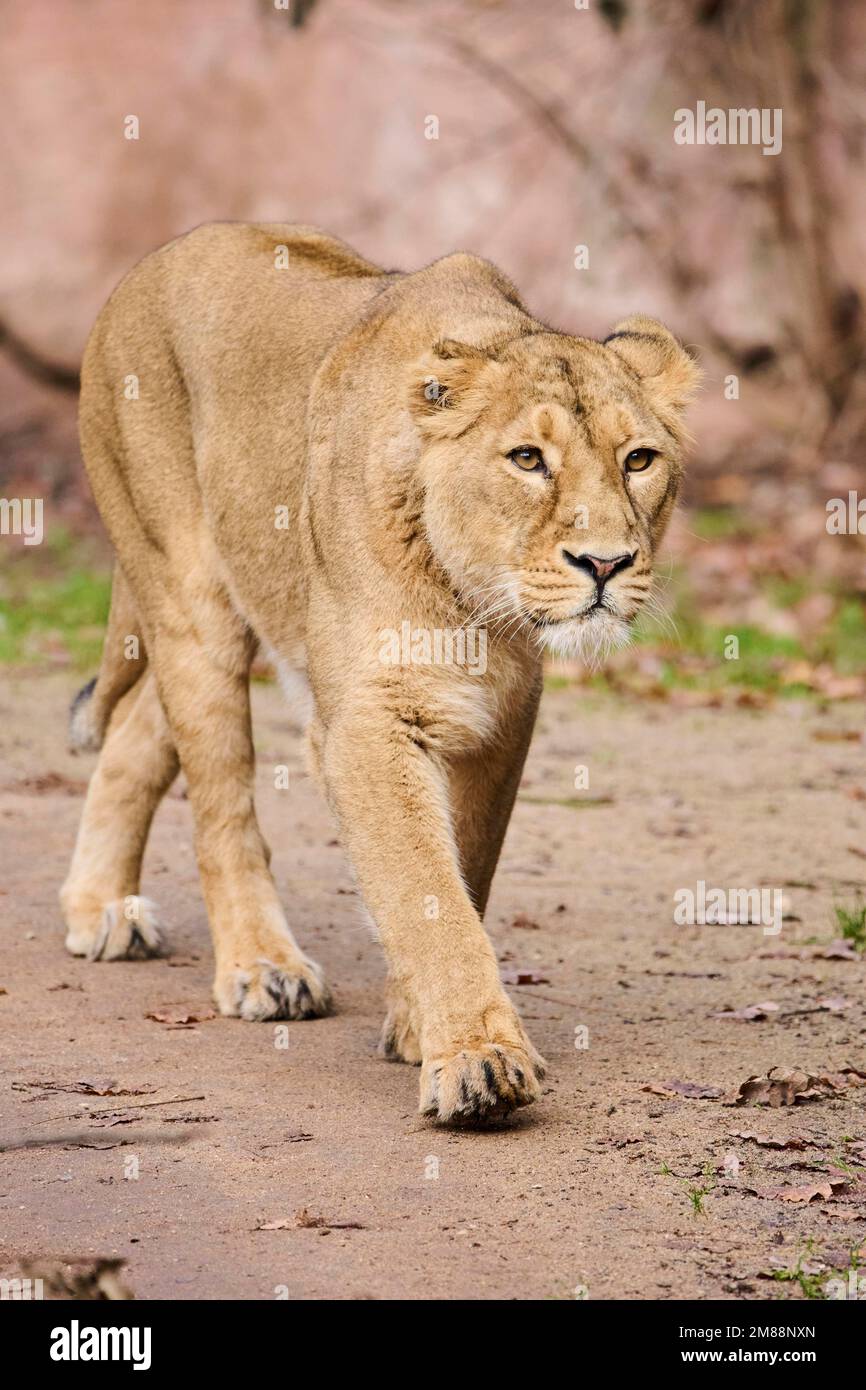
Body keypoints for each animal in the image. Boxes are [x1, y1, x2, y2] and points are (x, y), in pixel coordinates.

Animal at [61, 222, 699, 1123]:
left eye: (638, 459)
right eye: (528, 459)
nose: (605, 562)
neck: (477, 604)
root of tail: (156, 258)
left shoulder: (502, 717)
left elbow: (461, 872)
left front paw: (414, 1024)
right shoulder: (366, 721)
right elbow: (424, 890)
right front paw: (478, 1057)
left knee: (136, 734)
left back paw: (100, 910)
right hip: (188, 595)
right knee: (220, 806)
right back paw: (263, 967)